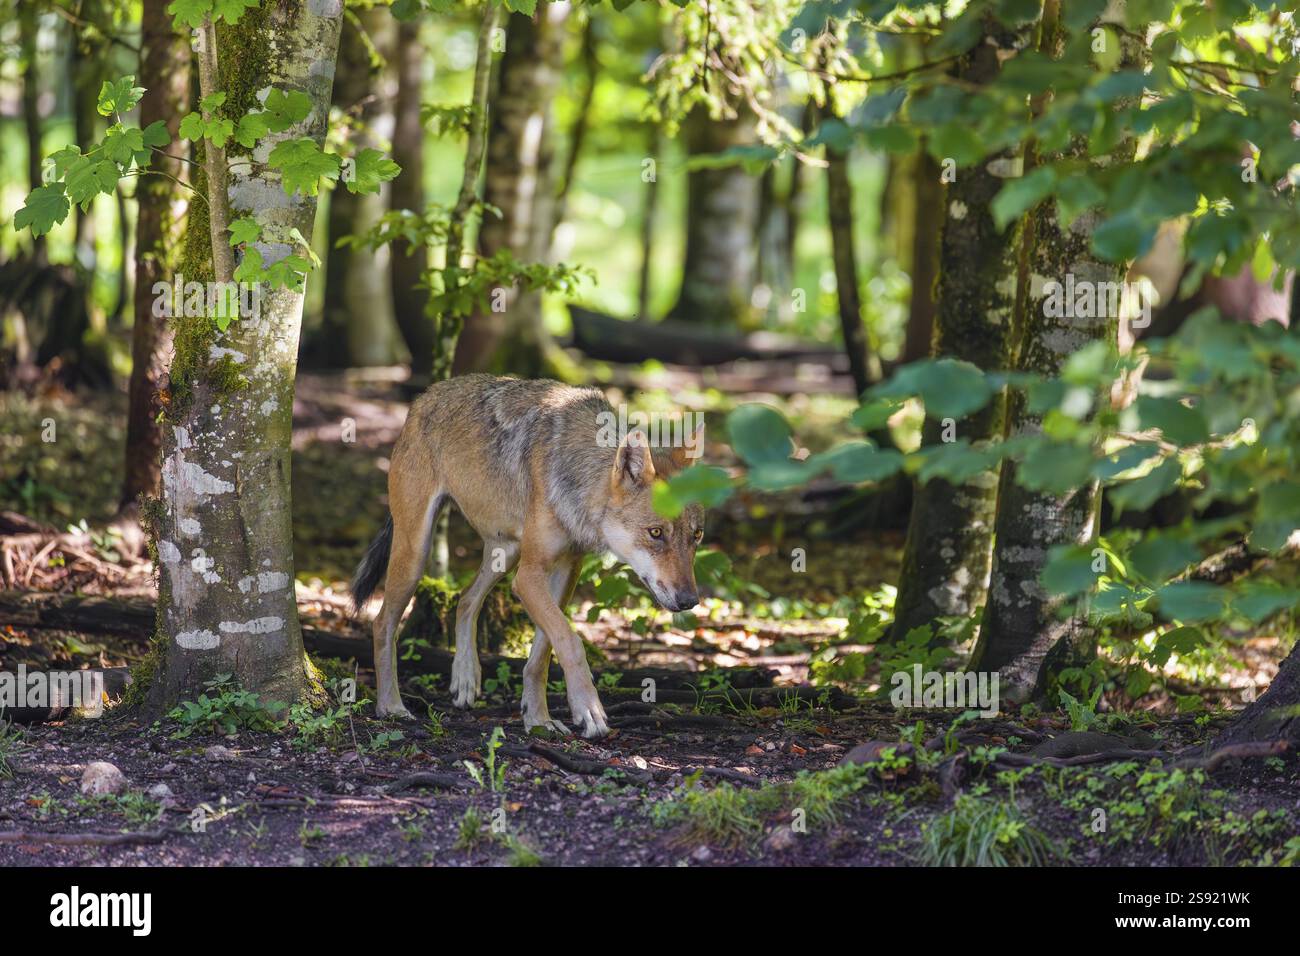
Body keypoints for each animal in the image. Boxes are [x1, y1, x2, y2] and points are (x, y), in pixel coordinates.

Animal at [351, 374, 707, 738]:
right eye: (656, 533)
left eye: (696, 536)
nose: (689, 600)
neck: (579, 476)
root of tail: (428, 394)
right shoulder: (529, 577)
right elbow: (570, 640)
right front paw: (588, 710)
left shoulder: (566, 571)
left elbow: (541, 655)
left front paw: (537, 718)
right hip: (416, 553)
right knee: (383, 623)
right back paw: (391, 706)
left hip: (504, 554)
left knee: (465, 599)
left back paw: (465, 677)